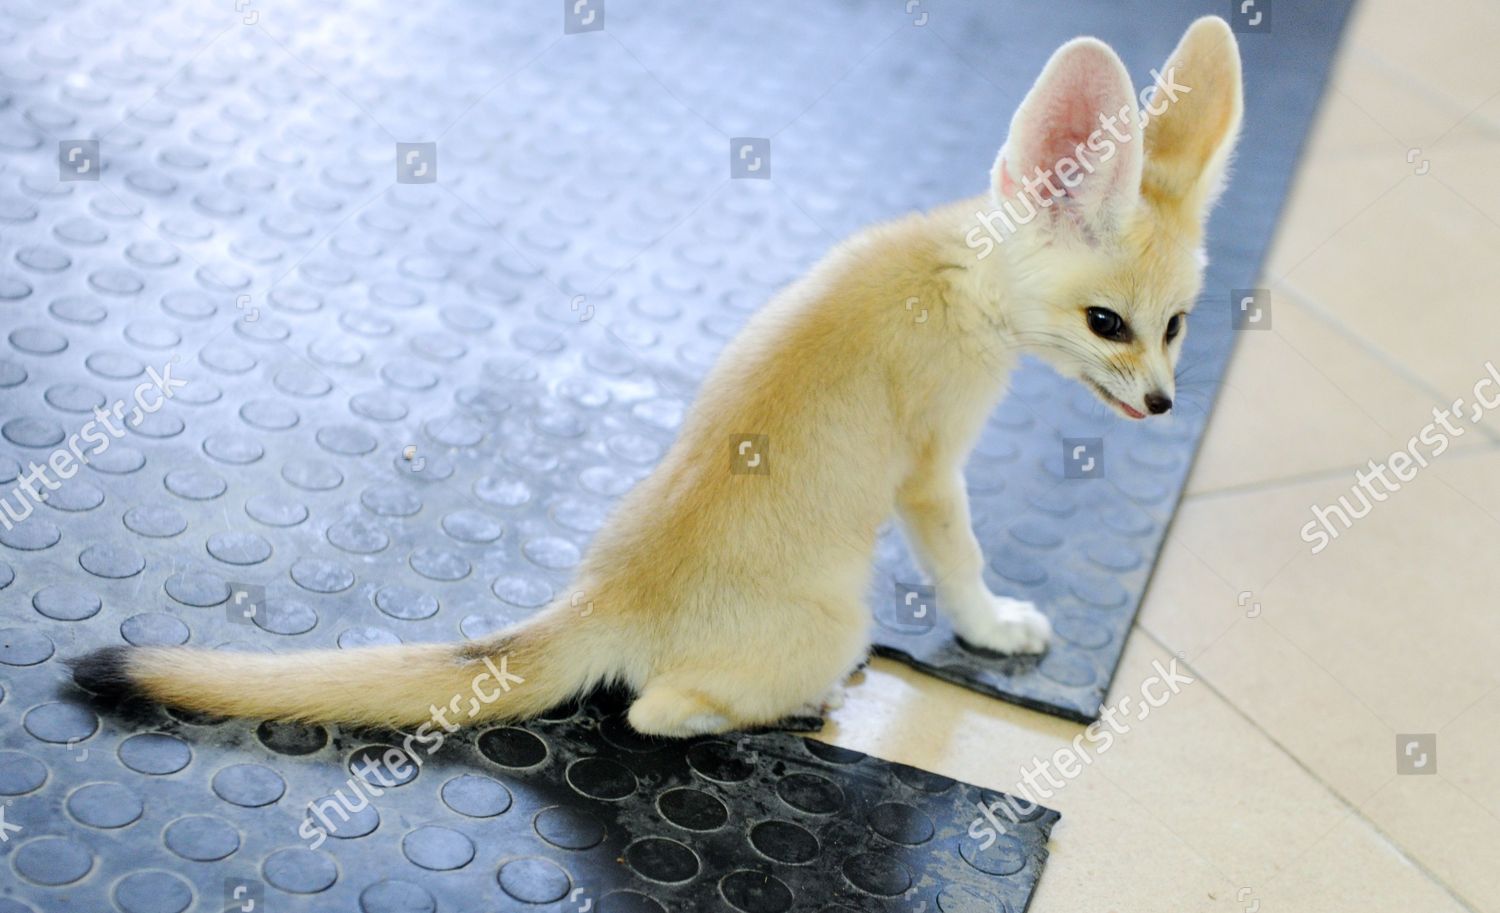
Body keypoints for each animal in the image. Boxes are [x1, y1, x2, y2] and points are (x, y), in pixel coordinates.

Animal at [72, 18, 1243, 738]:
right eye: (1106, 324)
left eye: (1177, 327)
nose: (1163, 403)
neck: (958, 273)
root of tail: (606, 595)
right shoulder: (931, 473)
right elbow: (960, 564)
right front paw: (993, 623)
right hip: (836, 621)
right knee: (651, 710)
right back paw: (794, 707)